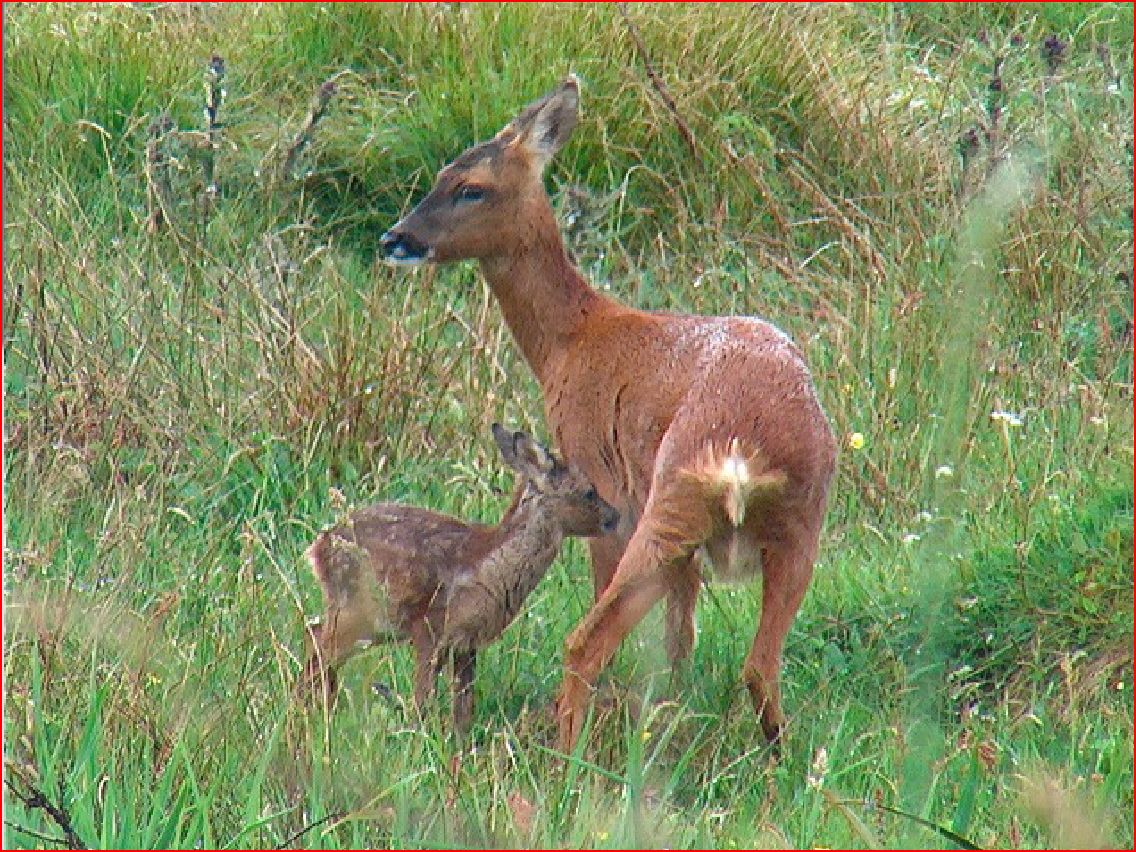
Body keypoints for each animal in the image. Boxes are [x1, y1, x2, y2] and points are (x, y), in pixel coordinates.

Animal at [296, 423, 619, 735]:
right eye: (589, 492)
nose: (614, 516)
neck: (490, 567)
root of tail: (318, 548)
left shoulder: (466, 642)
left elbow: (464, 706)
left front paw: (460, 743)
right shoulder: (430, 628)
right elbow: (423, 697)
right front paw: (419, 737)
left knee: (315, 635)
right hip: (358, 611)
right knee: (319, 644)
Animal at [380, 76, 837, 752]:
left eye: (470, 186)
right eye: (439, 174)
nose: (395, 240)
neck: (572, 342)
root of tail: (739, 449)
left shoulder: (600, 480)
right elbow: (680, 644)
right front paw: (669, 712)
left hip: (668, 501)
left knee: (585, 641)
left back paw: (569, 756)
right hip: (799, 521)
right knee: (759, 665)